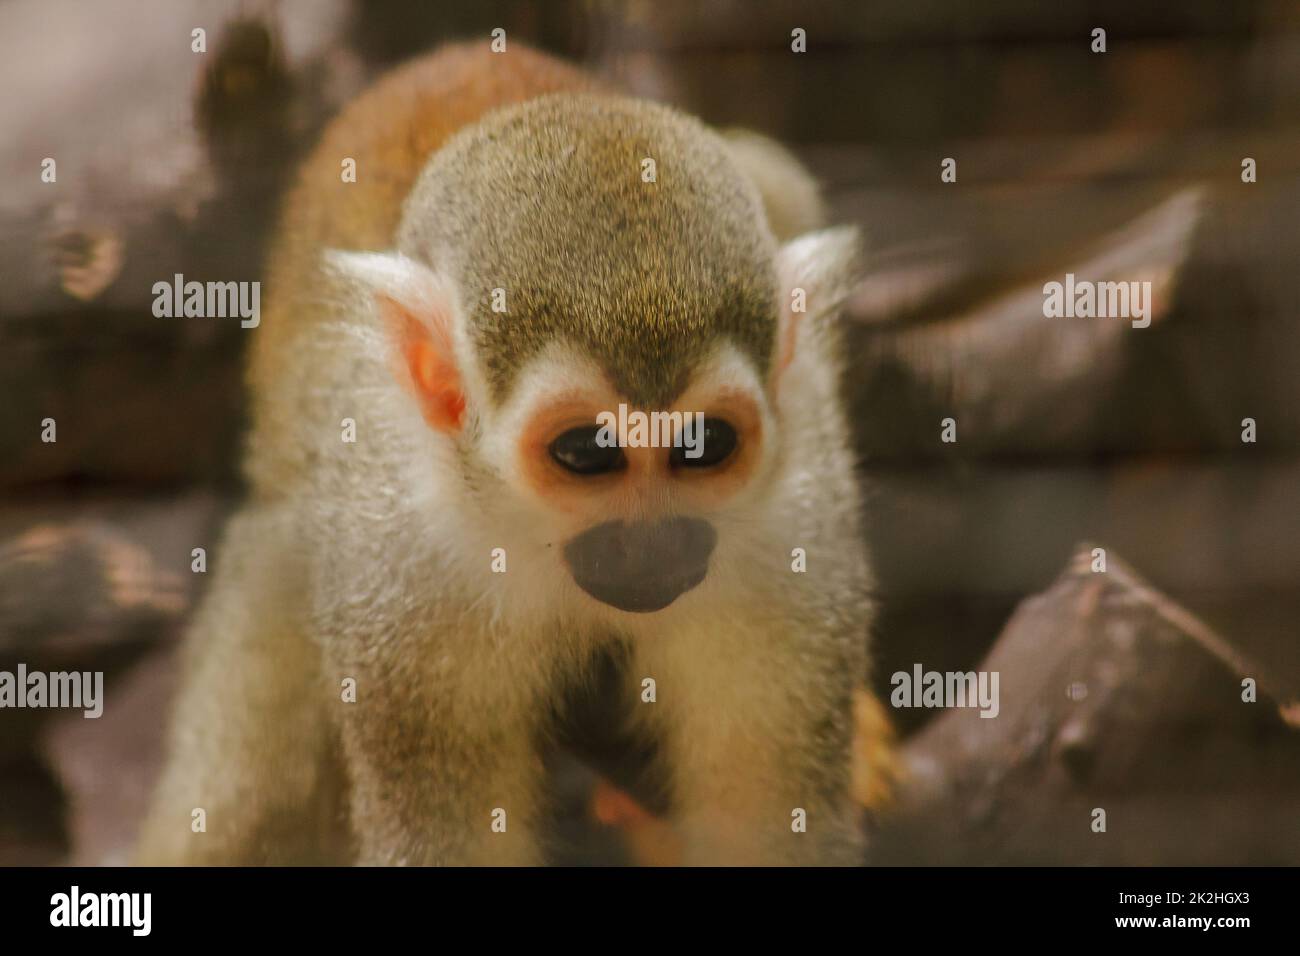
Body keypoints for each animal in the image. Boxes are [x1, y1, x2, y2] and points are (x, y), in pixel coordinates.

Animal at [135, 41, 884, 866]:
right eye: (587, 453)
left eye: (703, 445)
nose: (656, 543)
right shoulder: (399, 568)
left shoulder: (795, 541)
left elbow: (770, 815)